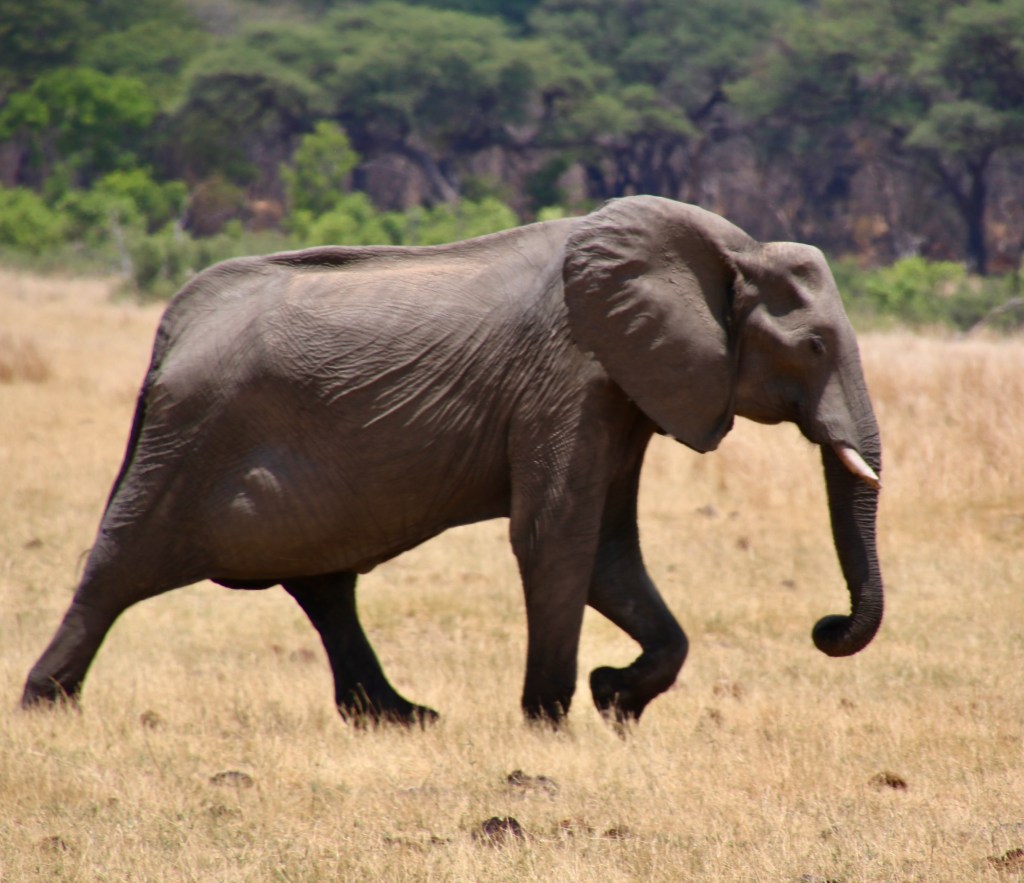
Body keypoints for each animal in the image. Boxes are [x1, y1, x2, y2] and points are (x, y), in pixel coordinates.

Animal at [21, 195, 883, 727]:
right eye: (813, 346)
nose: (825, 625)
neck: (728, 246)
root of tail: (173, 326)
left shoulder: (624, 386)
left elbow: (607, 549)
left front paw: (616, 700)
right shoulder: (568, 376)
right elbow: (557, 537)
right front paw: (550, 722)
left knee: (324, 584)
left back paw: (403, 717)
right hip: (190, 433)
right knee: (119, 564)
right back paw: (46, 706)